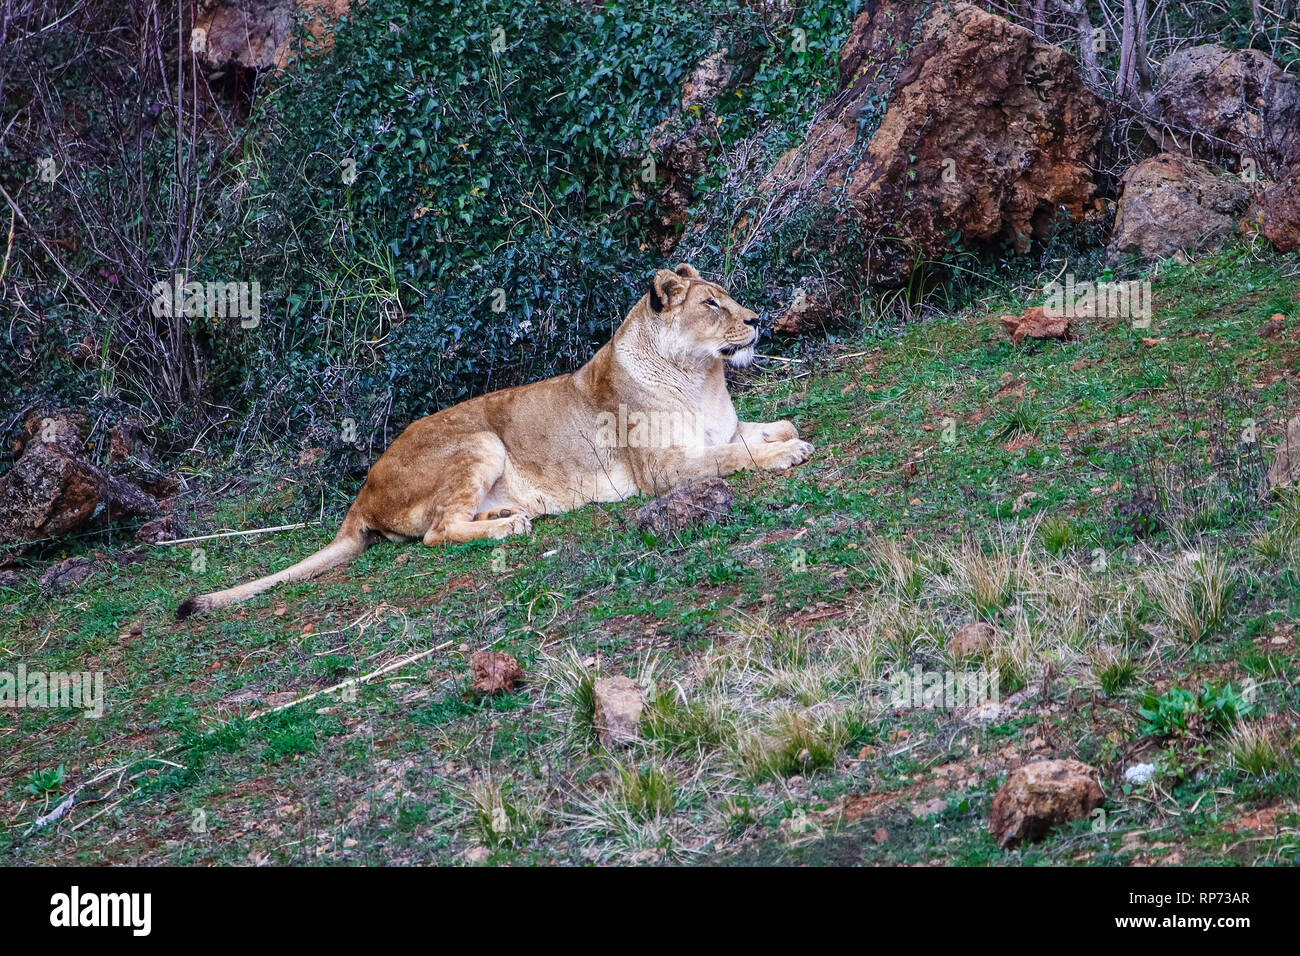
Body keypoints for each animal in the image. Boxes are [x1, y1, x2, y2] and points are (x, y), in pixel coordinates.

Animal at [176, 264, 813, 618]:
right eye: (711, 303)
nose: (757, 320)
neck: (702, 377)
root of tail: (361, 492)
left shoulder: (719, 429)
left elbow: (762, 429)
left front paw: (787, 436)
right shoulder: (664, 470)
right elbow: (735, 454)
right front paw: (786, 453)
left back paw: (506, 512)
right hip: (479, 441)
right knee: (436, 533)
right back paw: (508, 526)